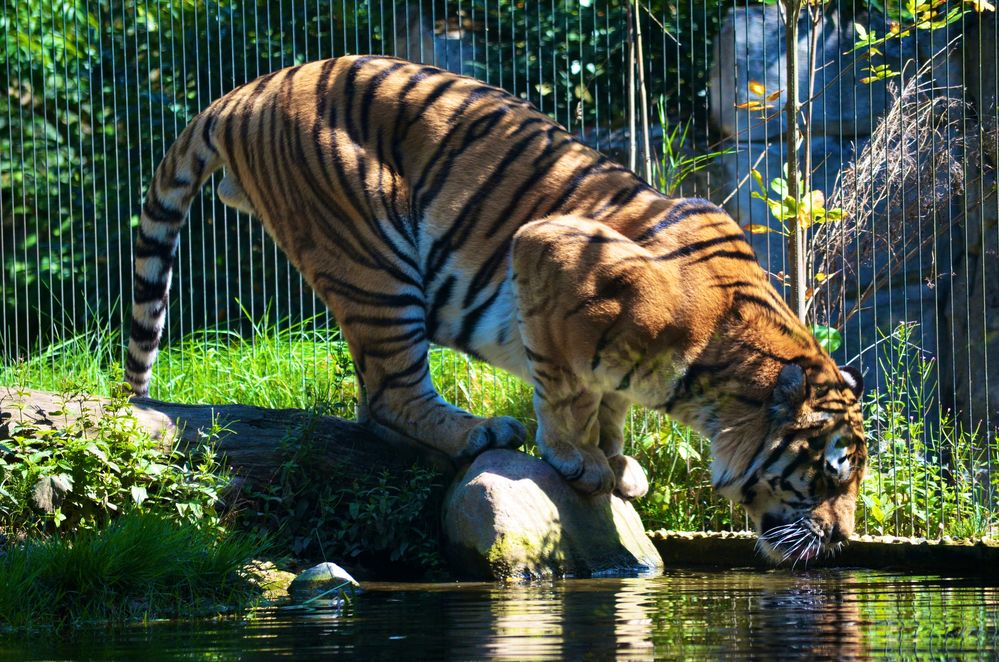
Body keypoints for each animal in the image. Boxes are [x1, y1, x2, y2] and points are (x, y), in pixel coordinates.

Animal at [127, 55, 868, 564]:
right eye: (831, 474)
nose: (840, 541)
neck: (716, 382)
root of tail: (244, 89)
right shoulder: (548, 248)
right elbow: (567, 389)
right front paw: (576, 459)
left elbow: (610, 401)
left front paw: (615, 461)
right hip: (371, 256)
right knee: (389, 393)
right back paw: (478, 431)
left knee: (374, 399)